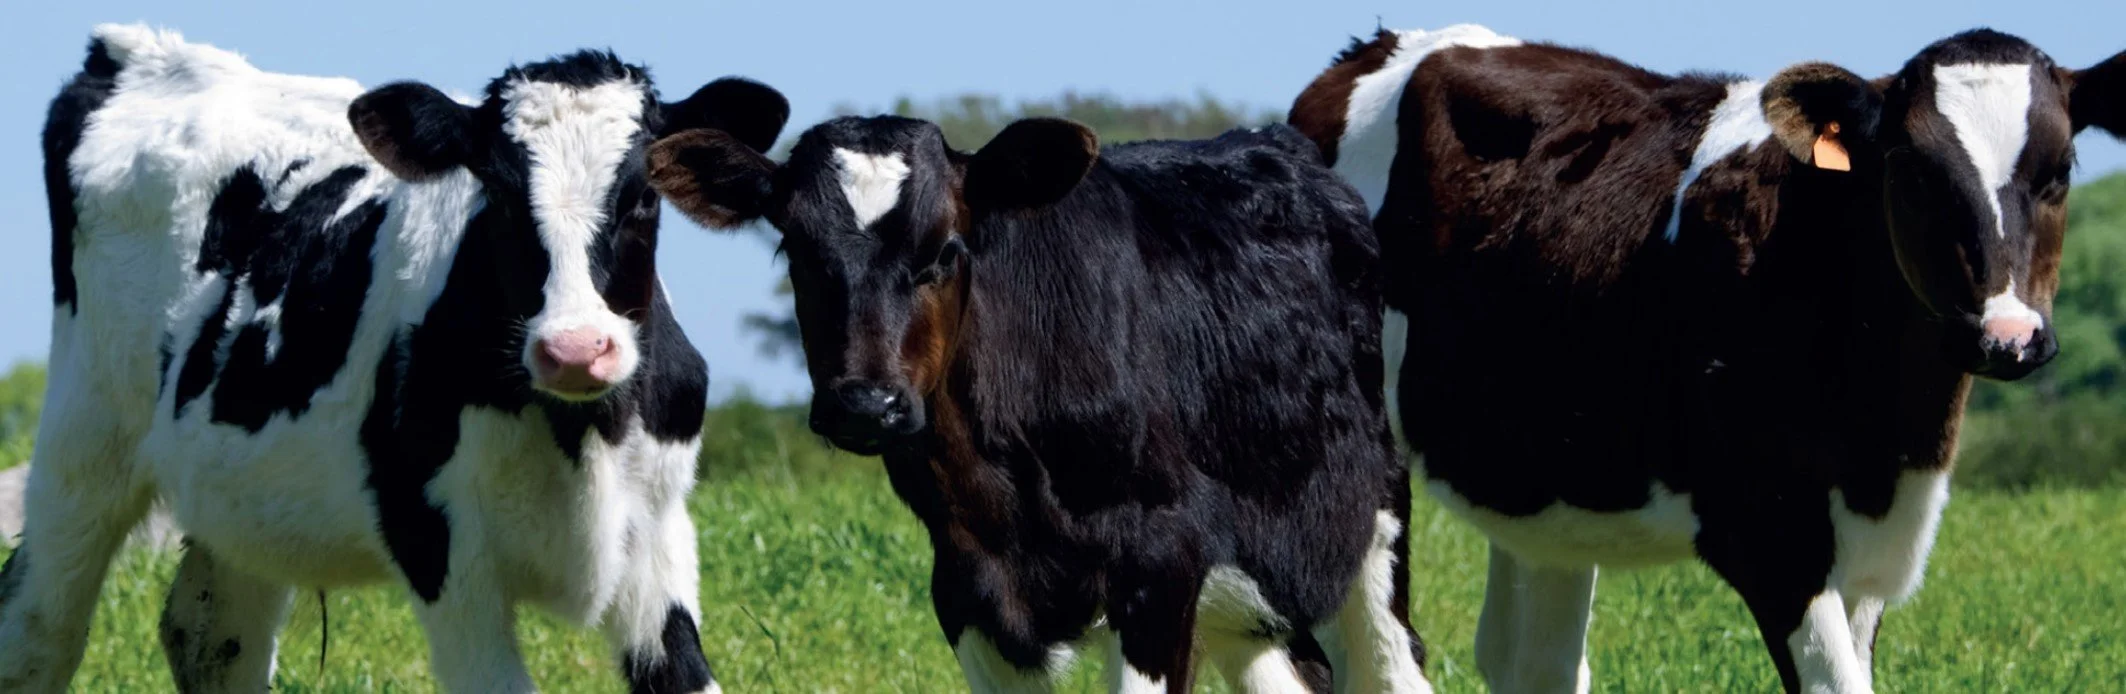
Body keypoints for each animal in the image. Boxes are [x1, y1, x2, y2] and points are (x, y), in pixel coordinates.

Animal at [0, 25, 788, 693]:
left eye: (644, 198)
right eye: (496, 193)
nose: (574, 350)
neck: (581, 434)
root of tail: (139, 51)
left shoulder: (659, 535)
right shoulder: (441, 547)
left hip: (235, 493)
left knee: (211, 635)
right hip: (83, 442)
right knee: (39, 629)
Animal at [644, 111, 1432, 692]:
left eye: (947, 247)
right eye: (797, 251)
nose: (866, 404)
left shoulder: (1159, 566)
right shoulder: (969, 591)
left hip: (1371, 524)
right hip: (1248, 605)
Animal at [1288, 23, 2126, 694]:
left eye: (2059, 173)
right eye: (1915, 174)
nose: (2008, 336)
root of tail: (1372, 48)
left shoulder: (1872, 553)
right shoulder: (1769, 534)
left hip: (1541, 478)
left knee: (1530, 660)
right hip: (1355, 469)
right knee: (1381, 660)